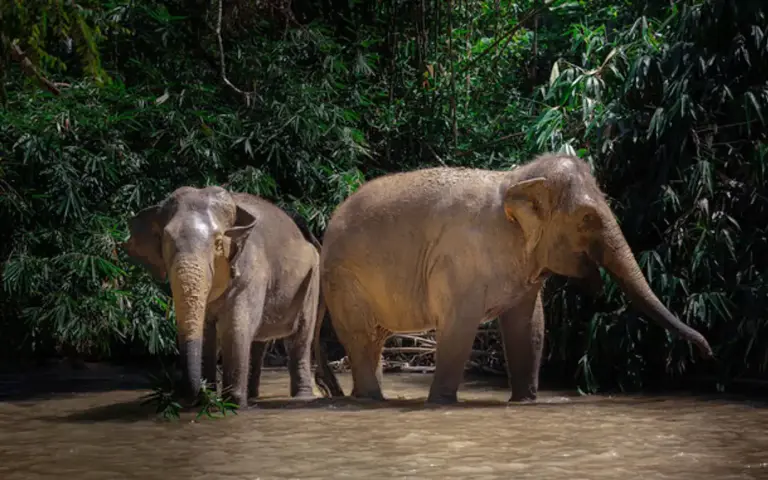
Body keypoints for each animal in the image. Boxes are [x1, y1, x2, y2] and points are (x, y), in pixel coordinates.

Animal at [122, 185, 334, 408]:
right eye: (165, 242)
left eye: (217, 244)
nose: (178, 392)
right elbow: (207, 331)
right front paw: (206, 400)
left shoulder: (252, 271)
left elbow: (234, 328)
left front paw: (232, 404)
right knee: (259, 342)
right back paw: (253, 396)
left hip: (311, 279)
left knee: (299, 336)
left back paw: (302, 397)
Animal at [315, 152, 714, 405]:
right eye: (587, 218)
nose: (706, 352)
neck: (516, 179)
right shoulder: (459, 259)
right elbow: (458, 326)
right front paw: (441, 403)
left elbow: (529, 325)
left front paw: (525, 402)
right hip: (344, 280)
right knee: (361, 338)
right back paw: (371, 400)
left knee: (373, 341)